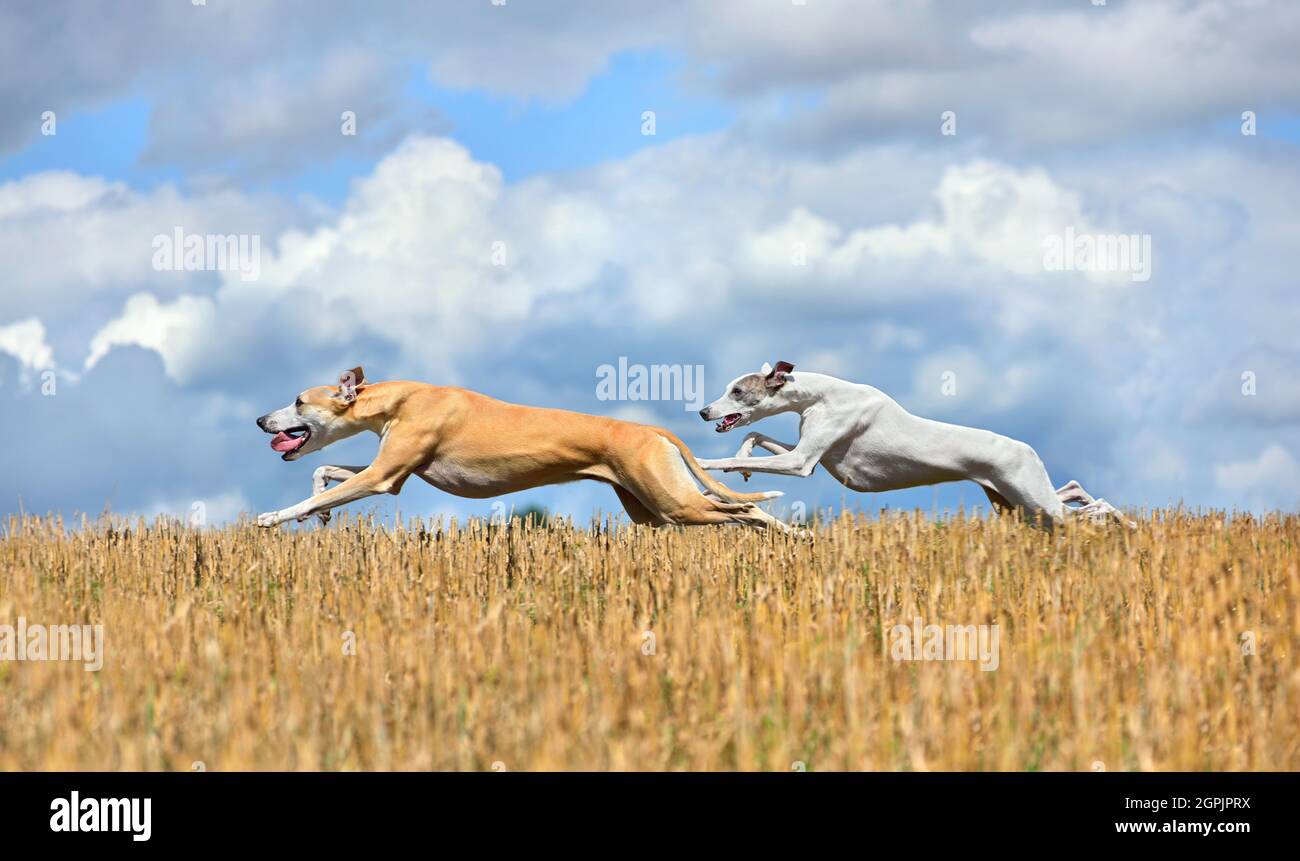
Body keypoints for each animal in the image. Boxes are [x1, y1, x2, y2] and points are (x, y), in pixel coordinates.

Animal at [252, 366, 780, 530]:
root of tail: (654, 431)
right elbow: (324, 475)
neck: (401, 398)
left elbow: (313, 493)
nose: (260, 420)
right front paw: (319, 513)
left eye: (298, 400)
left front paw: (273, 517)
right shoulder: (394, 475)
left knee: (744, 511)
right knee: (743, 510)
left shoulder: (381, 477)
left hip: (673, 503)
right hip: (651, 507)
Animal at [696, 361, 1133, 530]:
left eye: (737, 391)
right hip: (1017, 504)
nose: (703, 411)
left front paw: (705, 465)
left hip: (1036, 503)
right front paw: (743, 463)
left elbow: (723, 458)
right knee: (1074, 489)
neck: (819, 395)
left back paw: (1126, 523)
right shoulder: (813, 457)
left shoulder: (801, 462)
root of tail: (1027, 449)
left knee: (1096, 506)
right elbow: (753, 435)